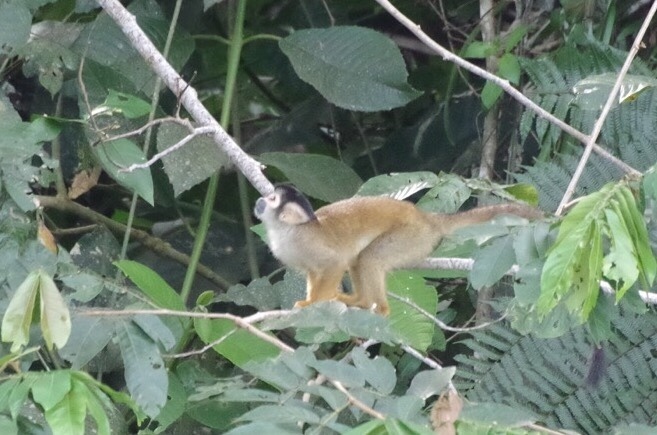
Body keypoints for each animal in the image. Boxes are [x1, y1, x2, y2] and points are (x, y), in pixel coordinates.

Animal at [254, 184, 541, 316]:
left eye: (272, 199)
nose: (259, 200)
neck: (287, 231)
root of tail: (426, 218)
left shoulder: (306, 243)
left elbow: (334, 262)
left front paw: (313, 303)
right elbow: (315, 272)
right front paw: (312, 298)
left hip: (412, 236)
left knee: (369, 258)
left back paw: (379, 308)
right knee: (358, 258)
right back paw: (360, 301)